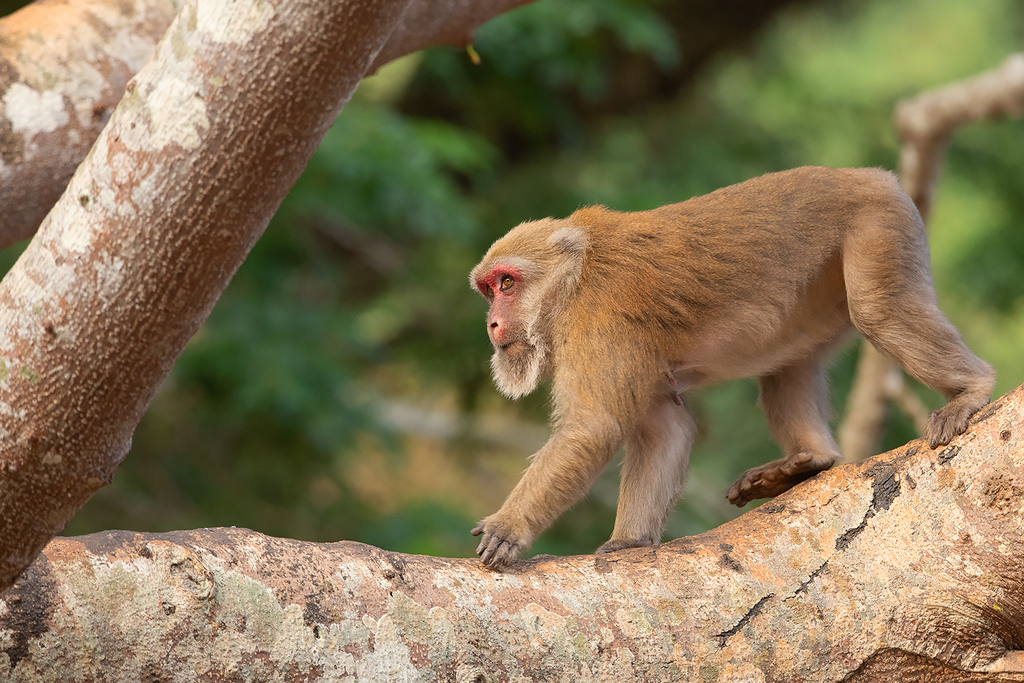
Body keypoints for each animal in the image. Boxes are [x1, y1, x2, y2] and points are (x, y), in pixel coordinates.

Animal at [467, 166, 996, 569]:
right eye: (488, 290)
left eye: (508, 283)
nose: (491, 323)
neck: (575, 279)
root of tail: (872, 175)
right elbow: (665, 429)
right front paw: (631, 541)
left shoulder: (600, 319)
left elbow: (592, 427)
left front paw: (510, 527)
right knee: (789, 362)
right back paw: (813, 459)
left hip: (878, 225)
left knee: (878, 311)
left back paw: (973, 390)